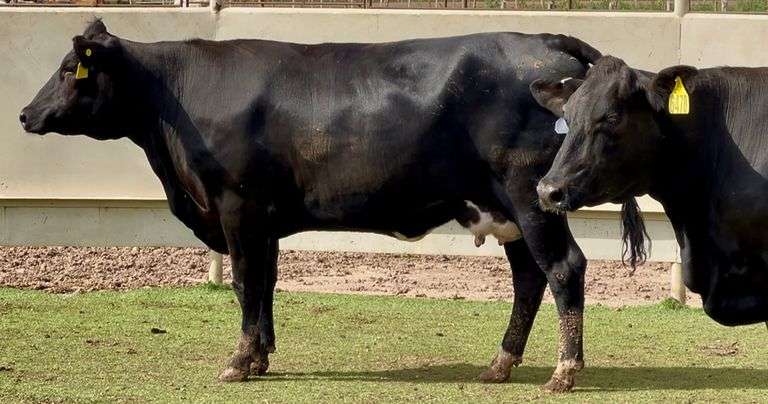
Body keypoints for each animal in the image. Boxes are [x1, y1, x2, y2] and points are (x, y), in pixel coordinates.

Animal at [20, 20, 601, 392]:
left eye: (70, 68)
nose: (25, 114)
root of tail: (544, 39)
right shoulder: (263, 220)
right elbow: (262, 283)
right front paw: (259, 356)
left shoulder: (237, 206)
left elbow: (244, 279)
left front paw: (238, 361)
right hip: (508, 212)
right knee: (528, 279)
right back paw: (500, 364)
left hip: (531, 198)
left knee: (562, 268)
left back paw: (564, 372)